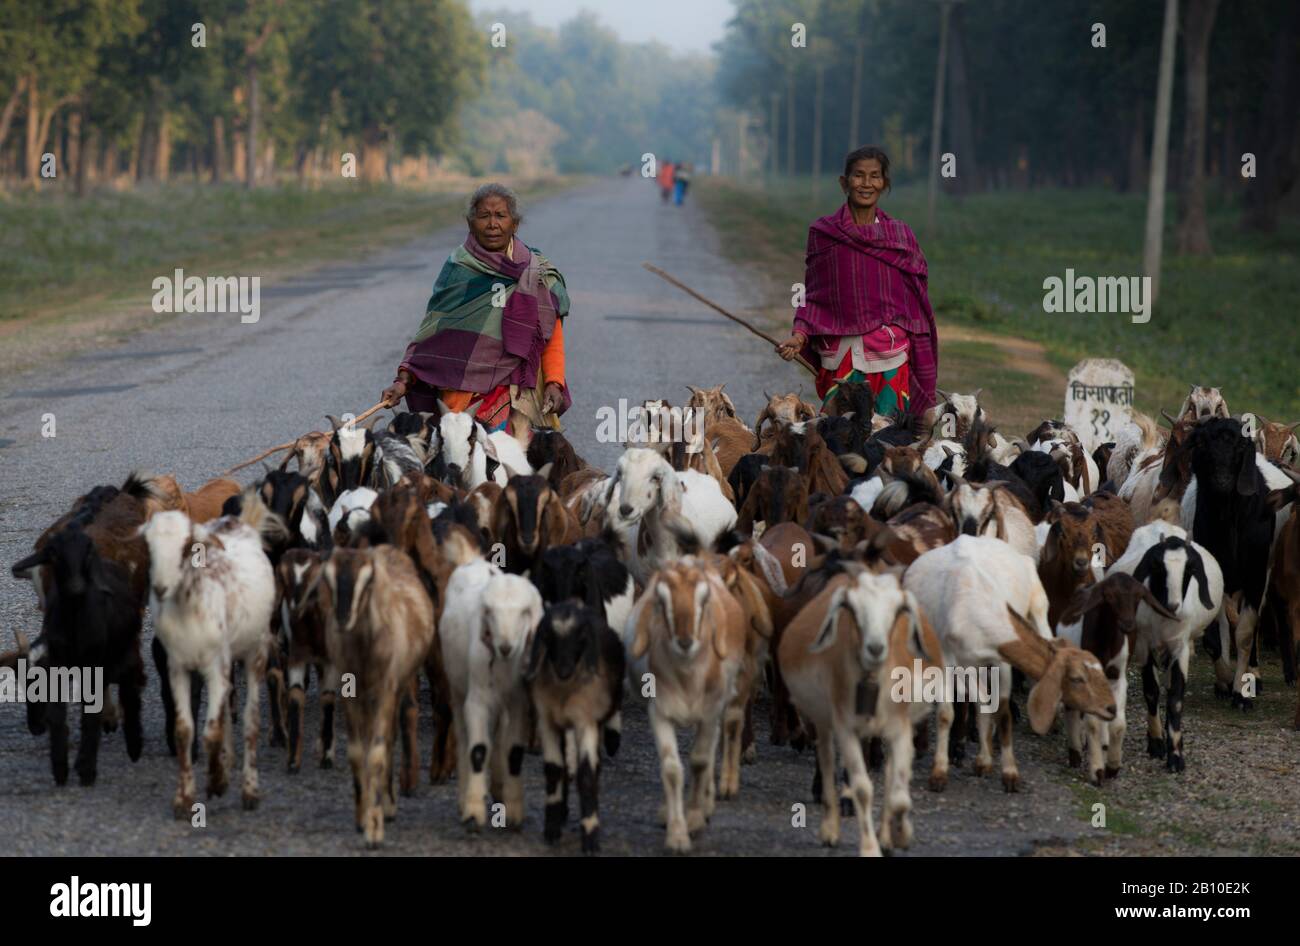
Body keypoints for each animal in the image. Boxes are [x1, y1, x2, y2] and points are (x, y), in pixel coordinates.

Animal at [142, 511, 275, 817]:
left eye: (186, 547)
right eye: (149, 546)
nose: (160, 587)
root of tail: (231, 520)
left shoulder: (216, 667)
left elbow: (211, 732)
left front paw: (215, 783)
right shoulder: (177, 668)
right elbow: (184, 730)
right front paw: (184, 798)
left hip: (256, 651)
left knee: (250, 720)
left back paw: (250, 790)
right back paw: (226, 764)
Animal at [318, 546, 435, 847]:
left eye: (368, 579)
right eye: (327, 576)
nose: (342, 618)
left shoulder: (386, 690)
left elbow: (378, 754)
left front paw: (374, 827)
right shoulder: (350, 694)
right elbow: (358, 753)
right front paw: (362, 817)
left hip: (400, 685)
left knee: (391, 739)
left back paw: (389, 805)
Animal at [525, 600, 625, 853]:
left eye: (581, 638)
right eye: (548, 636)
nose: (564, 669)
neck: (564, 692)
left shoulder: (586, 722)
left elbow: (587, 775)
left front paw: (590, 835)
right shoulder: (547, 721)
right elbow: (553, 769)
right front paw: (552, 828)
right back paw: (561, 812)